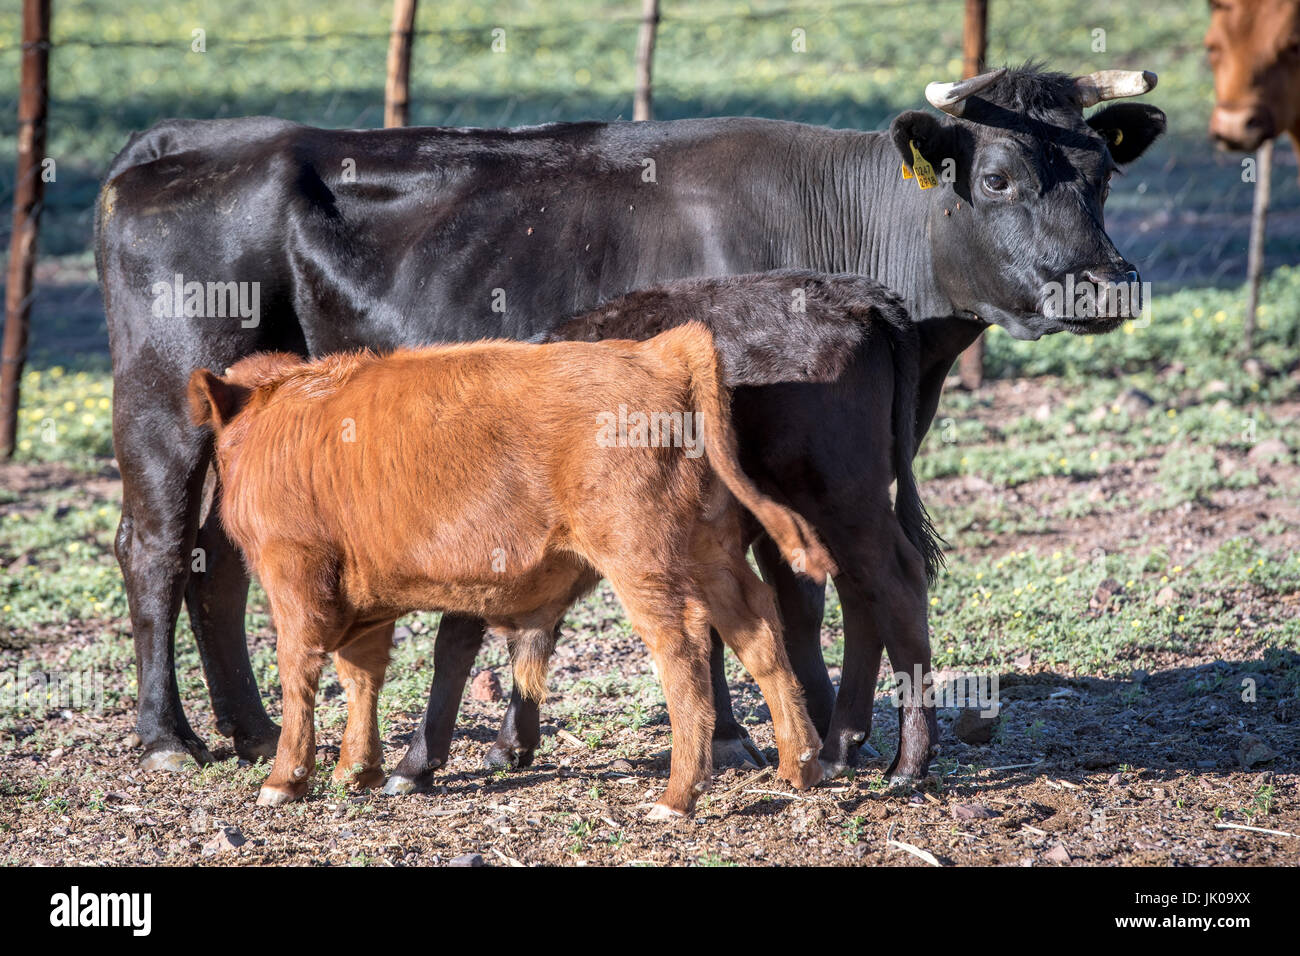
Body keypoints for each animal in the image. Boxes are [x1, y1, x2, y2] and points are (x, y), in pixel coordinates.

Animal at [187, 319, 844, 816]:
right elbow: (361, 675)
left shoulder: (294, 574)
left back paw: (678, 795)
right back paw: (800, 764)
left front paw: (285, 779)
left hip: (642, 559)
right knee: (757, 629)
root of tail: (660, 350)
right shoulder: (364, 595)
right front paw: (358, 769)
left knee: (682, 649)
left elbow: (298, 672)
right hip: (708, 552)